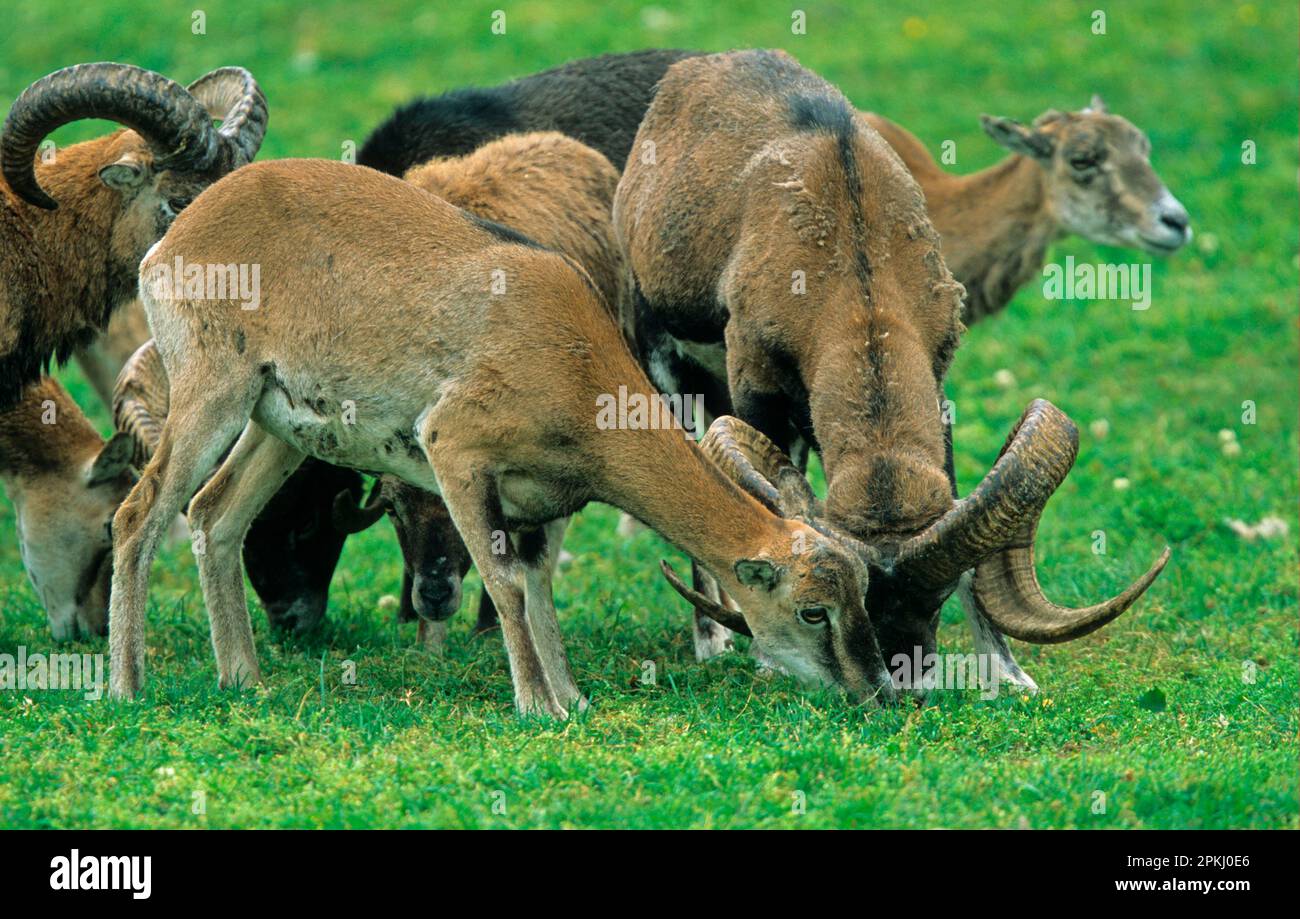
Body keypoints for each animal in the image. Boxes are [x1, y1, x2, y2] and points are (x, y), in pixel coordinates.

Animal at [106, 156, 894, 717]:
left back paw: (244, 679)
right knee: (139, 513)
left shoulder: (539, 505)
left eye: (862, 593)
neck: (570, 355)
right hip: (214, 389)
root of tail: (170, 243)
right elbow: (506, 582)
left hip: (280, 428)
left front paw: (572, 698)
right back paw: (127, 684)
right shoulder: (456, 450)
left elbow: (540, 586)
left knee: (214, 514)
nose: (877, 689)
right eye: (812, 609)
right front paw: (537, 706)